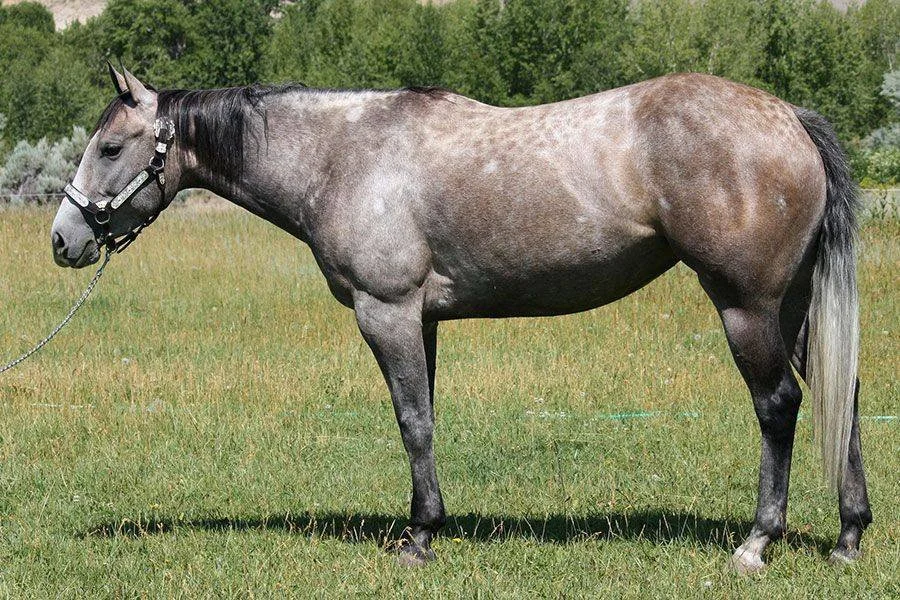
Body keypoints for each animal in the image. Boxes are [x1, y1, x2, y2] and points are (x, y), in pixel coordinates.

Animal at [50, 65, 871, 572]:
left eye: (112, 146)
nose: (64, 239)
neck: (343, 155)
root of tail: (788, 115)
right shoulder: (423, 321)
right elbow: (427, 417)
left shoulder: (386, 314)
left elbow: (412, 420)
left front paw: (419, 536)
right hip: (793, 309)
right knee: (845, 397)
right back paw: (849, 535)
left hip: (746, 308)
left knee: (779, 406)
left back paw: (758, 543)